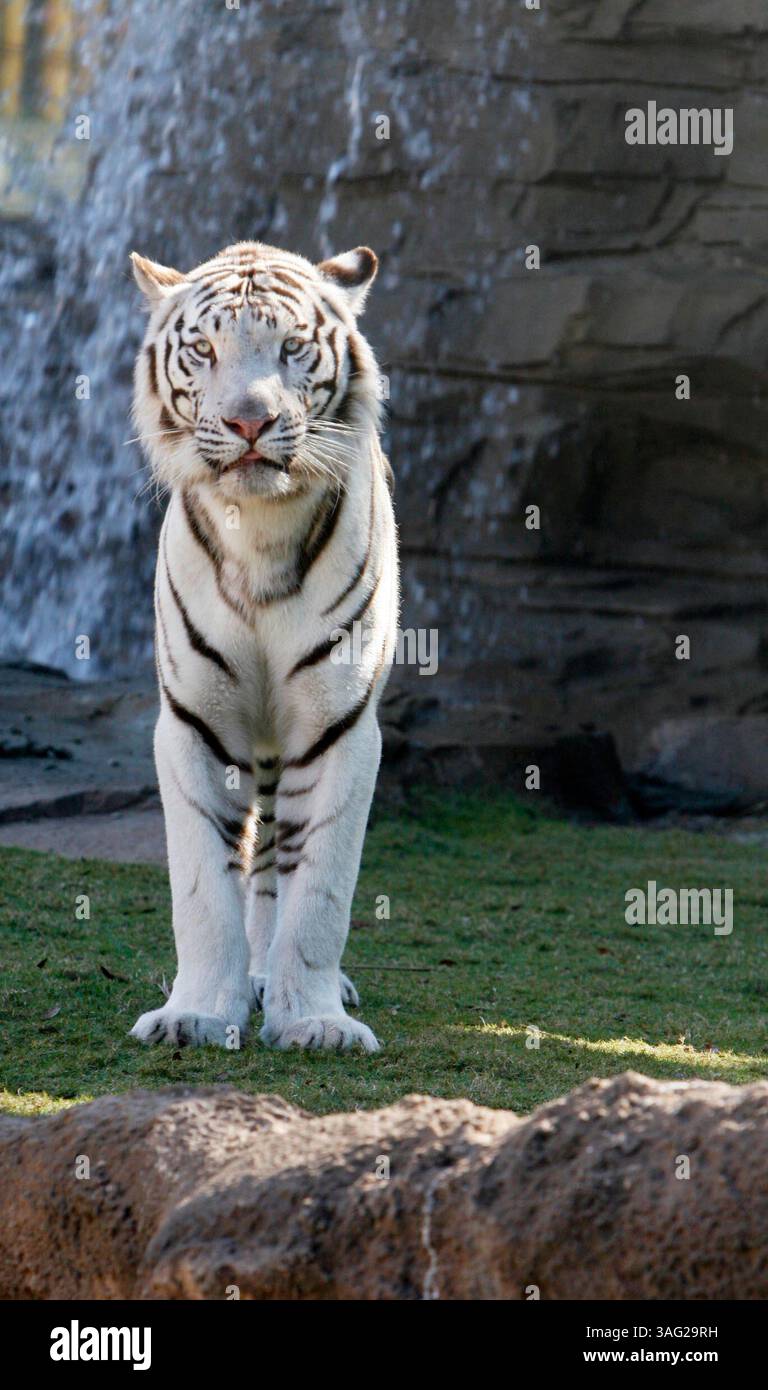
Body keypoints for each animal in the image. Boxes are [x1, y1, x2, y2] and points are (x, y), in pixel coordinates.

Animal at [128, 240, 398, 1052]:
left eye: (292, 347)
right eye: (204, 351)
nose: (250, 422)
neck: (261, 530)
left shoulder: (338, 724)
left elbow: (319, 891)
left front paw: (313, 1018)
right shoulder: (195, 720)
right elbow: (203, 889)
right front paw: (195, 1014)